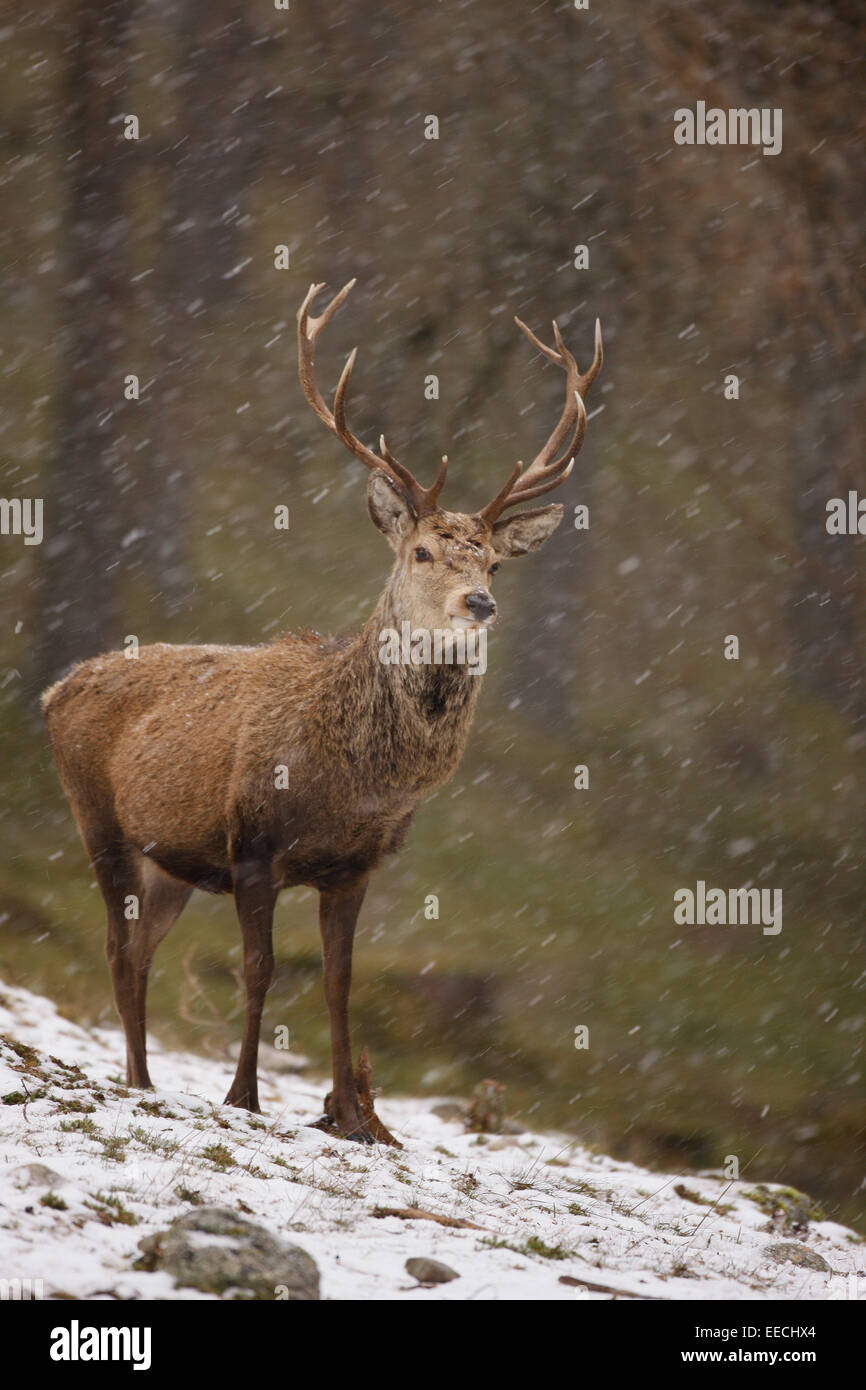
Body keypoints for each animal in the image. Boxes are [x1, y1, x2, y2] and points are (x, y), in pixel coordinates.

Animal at [41, 281, 602, 1145]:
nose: (480, 604)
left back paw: (143, 1077)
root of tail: (52, 689)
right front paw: (244, 1096)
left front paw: (351, 1114)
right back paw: (139, 1079)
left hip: (171, 860)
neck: (354, 780)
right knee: (115, 946)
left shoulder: (354, 866)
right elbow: (261, 968)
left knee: (140, 948)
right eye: (422, 552)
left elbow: (339, 980)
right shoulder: (253, 843)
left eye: (494, 560)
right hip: (96, 814)